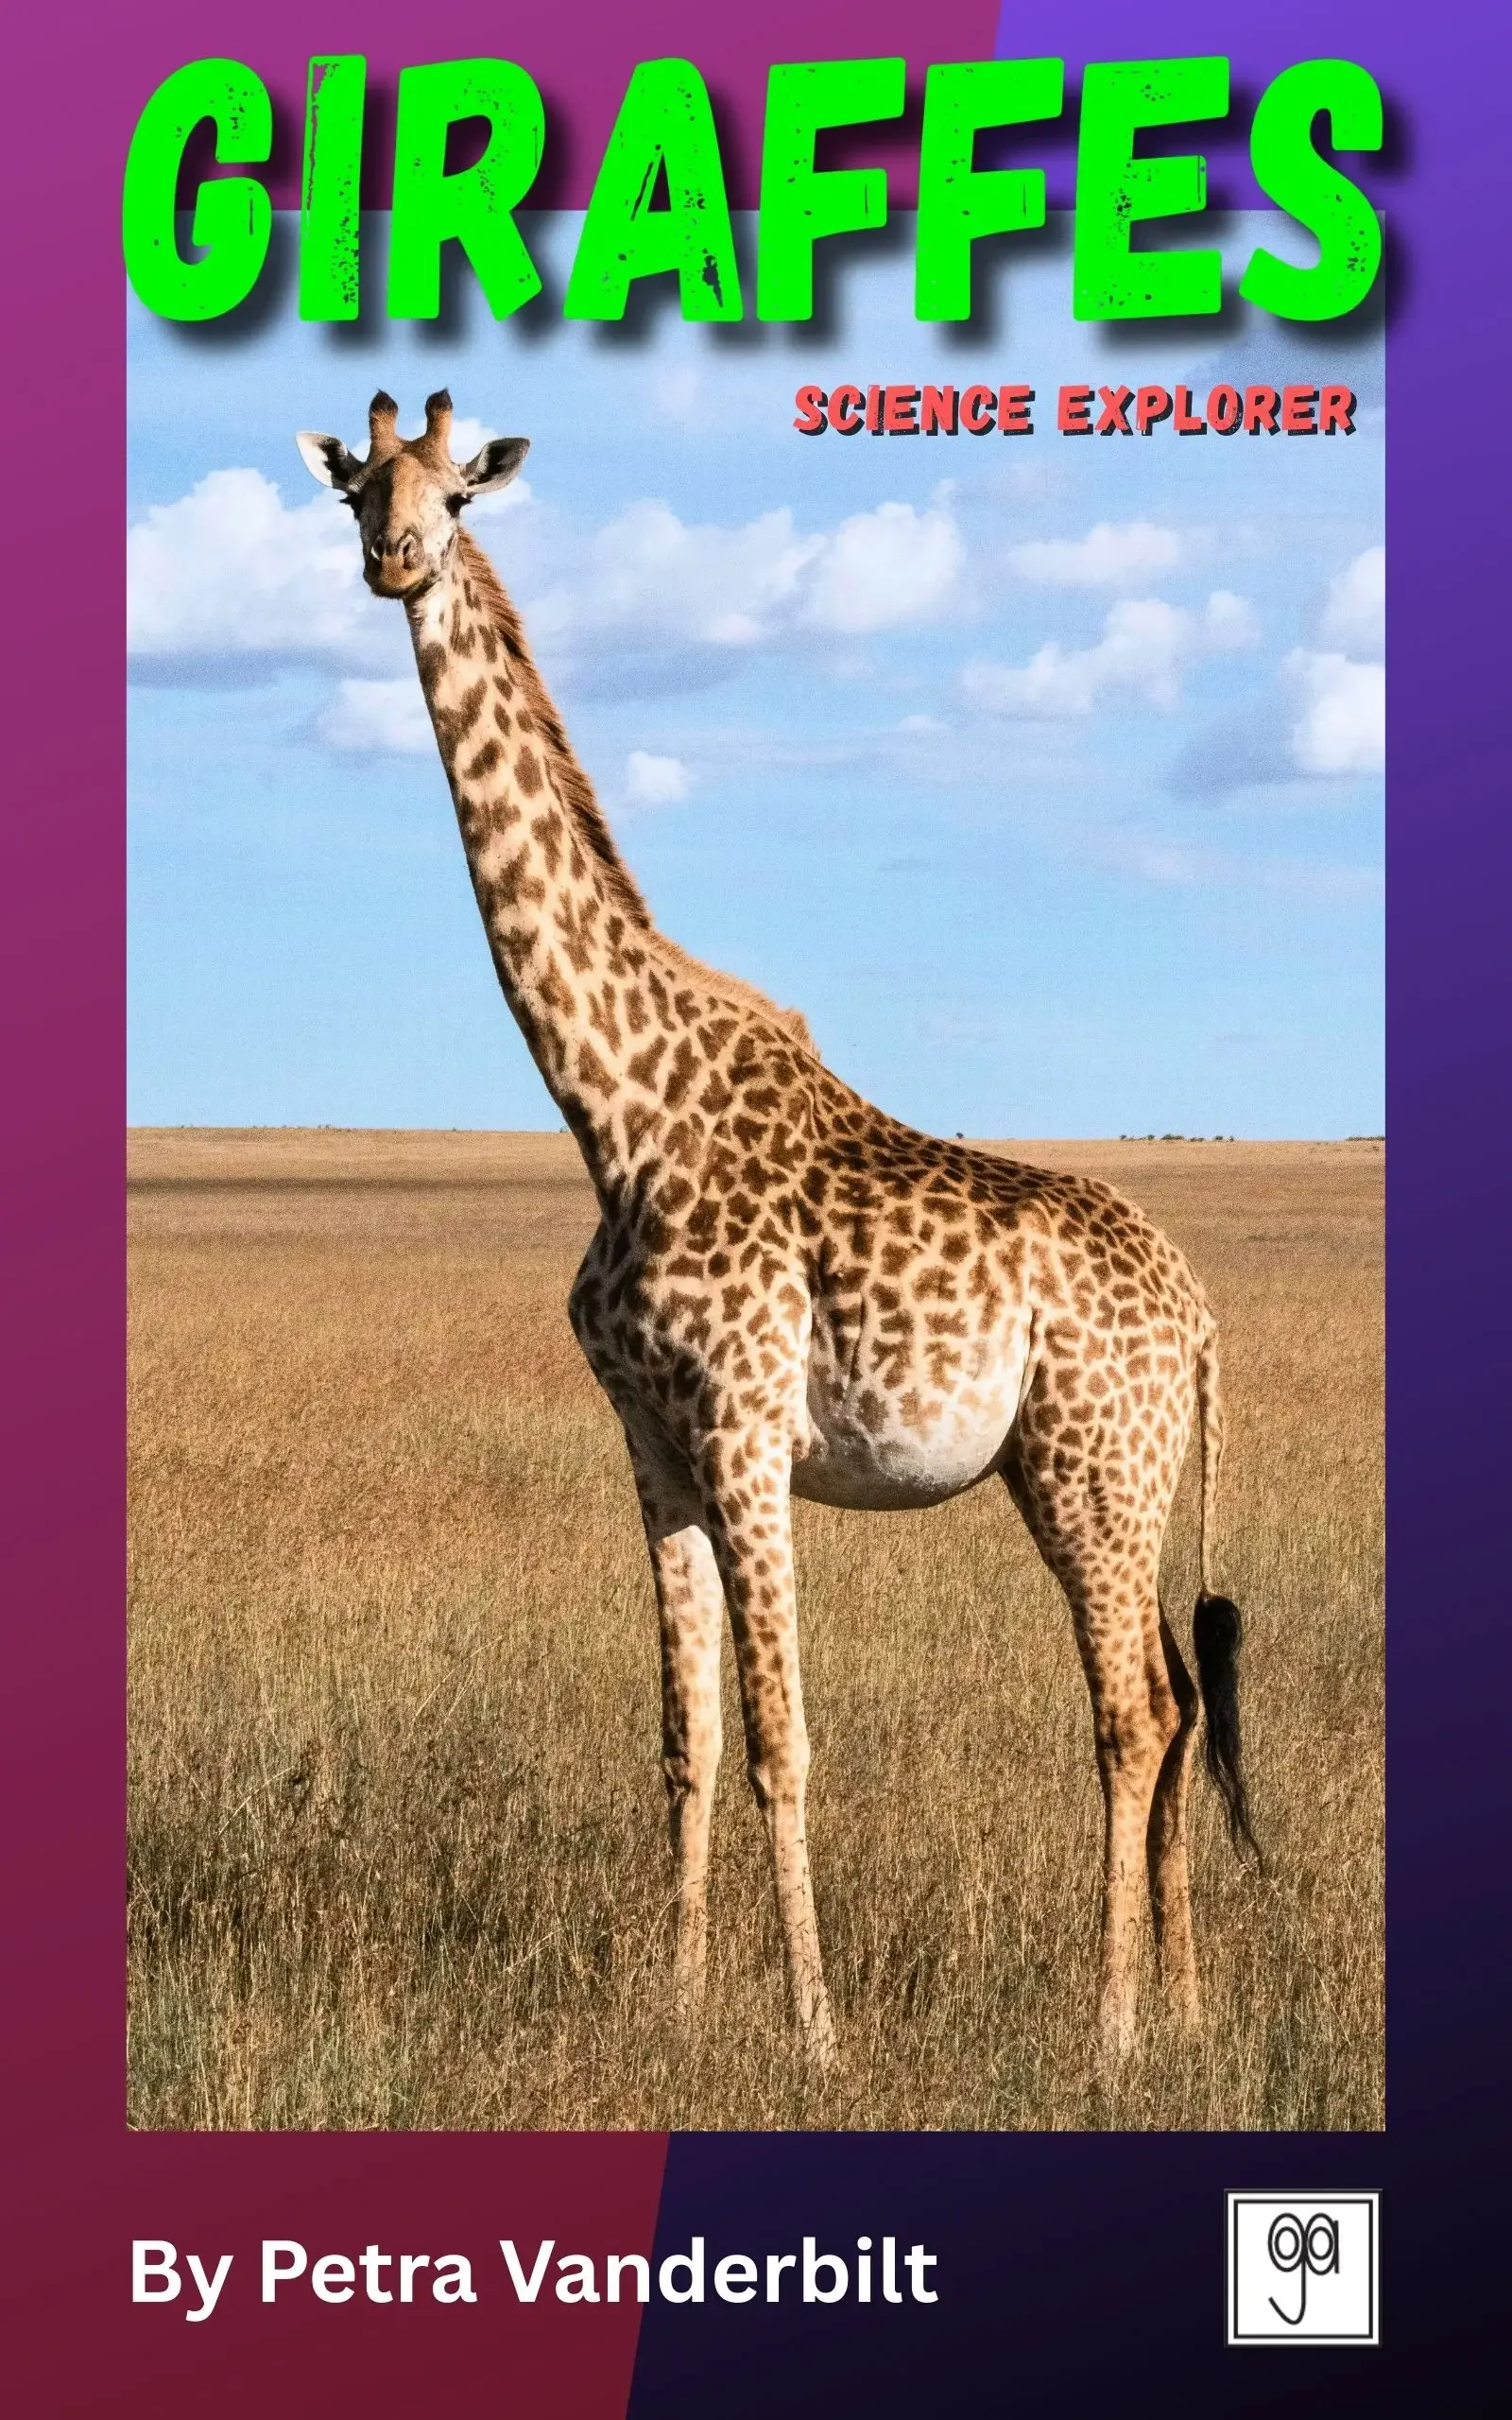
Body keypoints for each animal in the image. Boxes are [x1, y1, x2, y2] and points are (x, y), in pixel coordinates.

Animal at [297, 390, 1260, 2068]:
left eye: (458, 492)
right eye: (359, 487)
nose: (393, 559)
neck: (612, 1110)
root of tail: (1198, 1315)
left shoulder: (748, 1428)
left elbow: (780, 1742)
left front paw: (814, 2032)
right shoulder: (654, 1440)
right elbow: (685, 1739)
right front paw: (677, 2007)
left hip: (1093, 1465)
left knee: (1135, 1711)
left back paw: (1109, 2028)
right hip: (1094, 1474)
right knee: (1178, 1697)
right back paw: (1189, 2008)